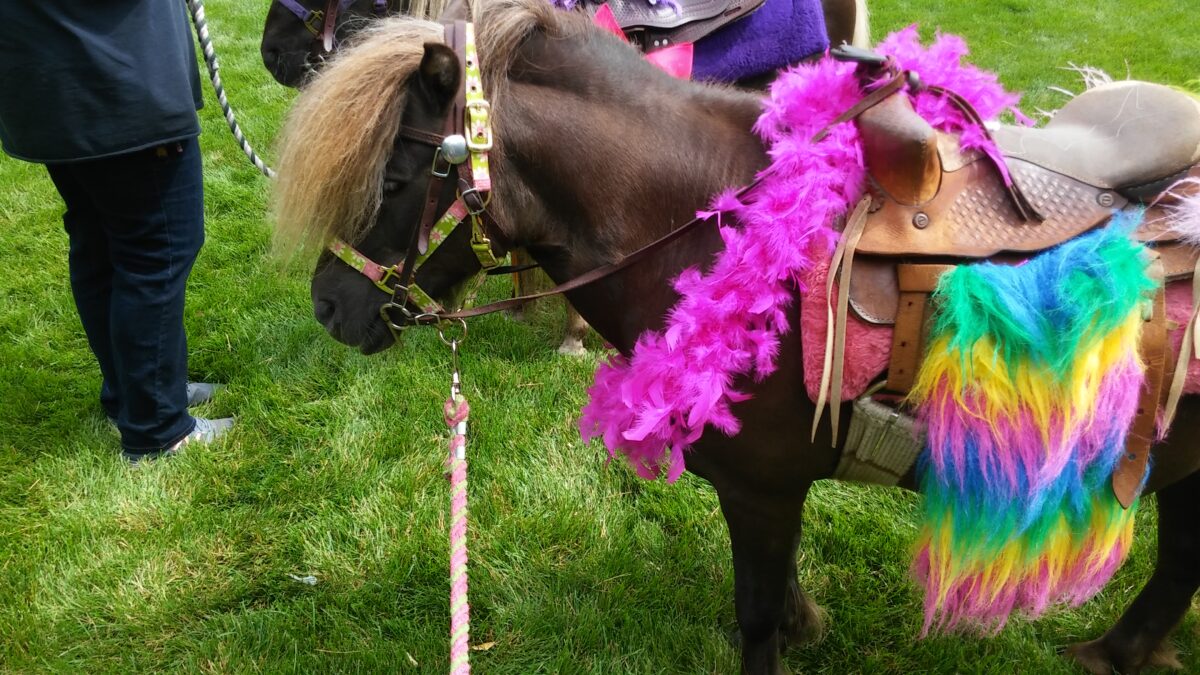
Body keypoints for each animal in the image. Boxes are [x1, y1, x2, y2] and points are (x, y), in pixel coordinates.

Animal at [270, 3, 1200, 673]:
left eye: (396, 176)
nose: (328, 305)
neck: (714, 222)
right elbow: (776, 596)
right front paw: (805, 620)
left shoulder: (761, 489)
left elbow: (756, 611)